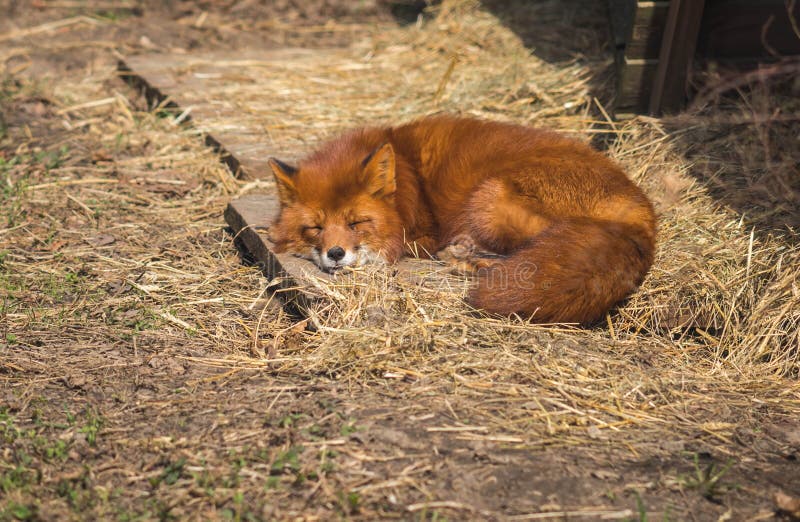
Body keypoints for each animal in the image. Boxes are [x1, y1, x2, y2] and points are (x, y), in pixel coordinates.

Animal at [267, 114, 656, 325]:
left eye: (356, 223)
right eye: (315, 228)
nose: (335, 254)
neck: (407, 178)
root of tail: (641, 210)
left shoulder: (420, 235)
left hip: (490, 197)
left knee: (525, 253)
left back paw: (464, 259)